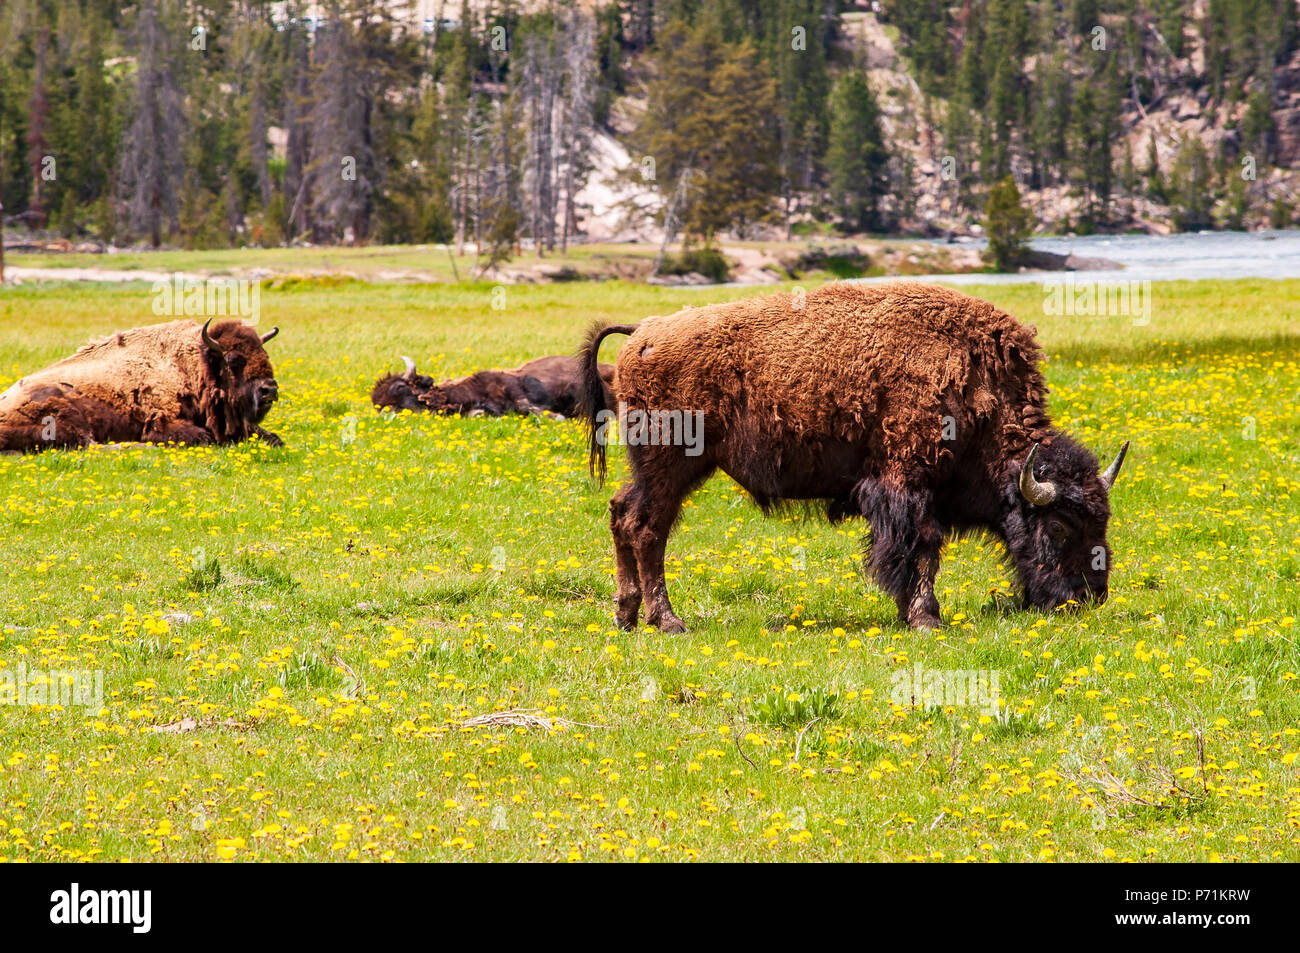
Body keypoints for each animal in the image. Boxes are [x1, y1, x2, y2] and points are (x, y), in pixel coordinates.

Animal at [0, 318, 282, 452]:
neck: (194, 366)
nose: (269, 389)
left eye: (265, 355)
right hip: (63, 413)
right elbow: (204, 437)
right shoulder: (162, 422)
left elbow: (274, 438)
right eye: (233, 359)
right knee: (89, 445)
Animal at [577, 282, 1129, 632]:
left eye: (1102, 521)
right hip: (671, 462)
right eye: (1059, 526)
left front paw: (913, 613)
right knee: (647, 528)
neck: (977, 388)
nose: (1089, 597)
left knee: (623, 514)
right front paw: (926, 618)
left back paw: (627, 616)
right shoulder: (906, 480)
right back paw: (668, 621)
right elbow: (921, 546)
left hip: (660, 467)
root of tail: (644, 332)